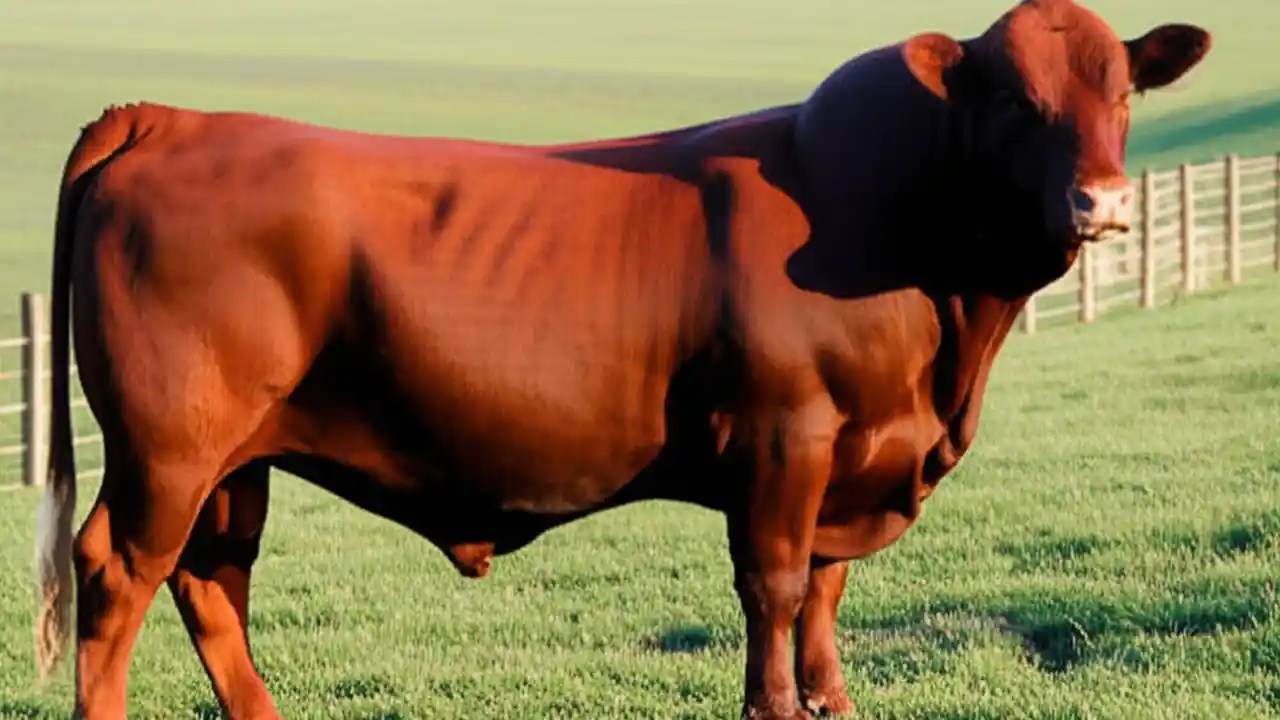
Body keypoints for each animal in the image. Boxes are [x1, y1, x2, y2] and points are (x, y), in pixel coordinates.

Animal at [32, 1, 1208, 718]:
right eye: (1013, 96)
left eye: (1122, 94)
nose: (1102, 201)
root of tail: (169, 117)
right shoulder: (785, 437)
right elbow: (775, 585)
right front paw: (773, 705)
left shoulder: (859, 452)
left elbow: (827, 592)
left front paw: (830, 699)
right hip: (168, 448)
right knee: (121, 571)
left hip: (237, 457)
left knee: (212, 579)